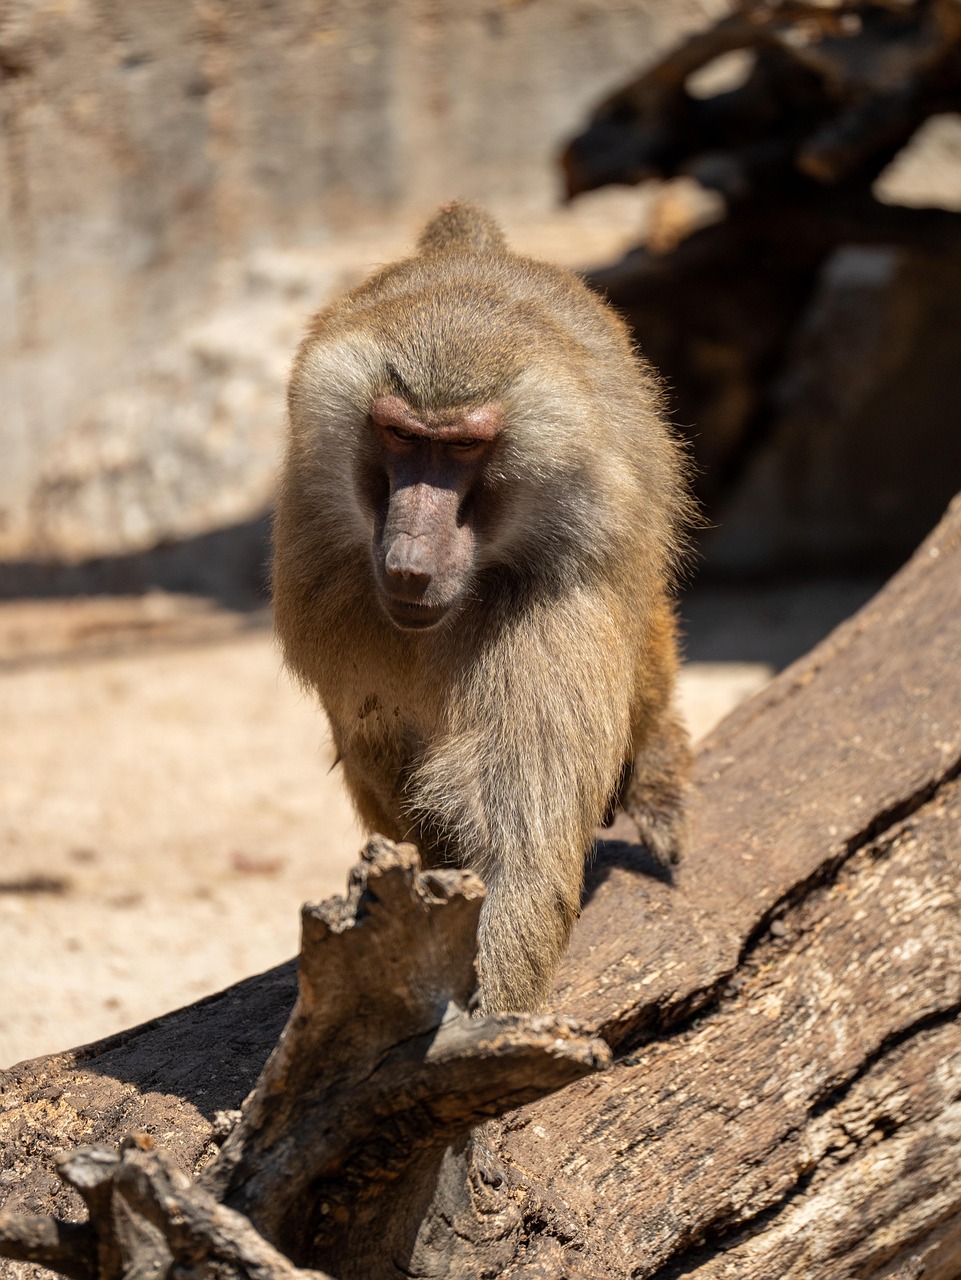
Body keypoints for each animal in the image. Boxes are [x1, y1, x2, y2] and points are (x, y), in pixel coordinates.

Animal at [272, 201, 692, 1013]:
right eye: (400, 434)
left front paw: (485, 1023)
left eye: (462, 448)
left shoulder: (557, 599)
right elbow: (385, 754)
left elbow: (518, 843)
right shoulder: (333, 592)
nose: (407, 560)